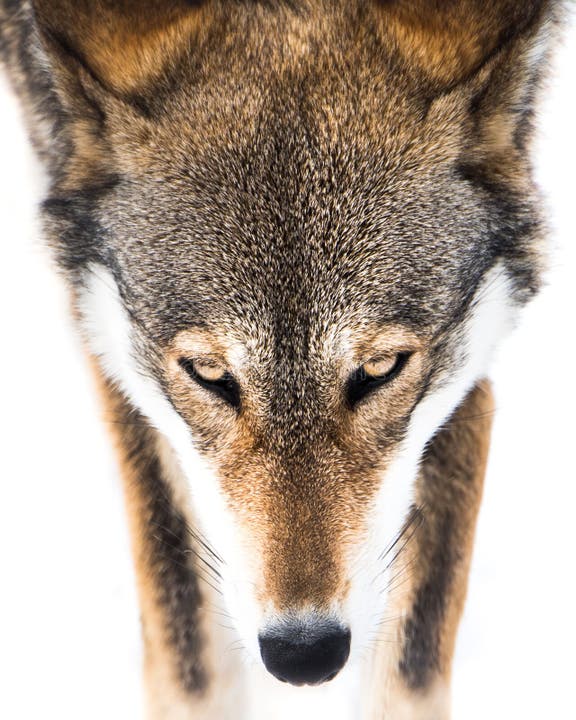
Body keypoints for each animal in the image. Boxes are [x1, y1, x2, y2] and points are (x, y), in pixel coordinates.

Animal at [0, 1, 565, 718]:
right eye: (210, 376)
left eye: (379, 370)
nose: (304, 654)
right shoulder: (116, 361)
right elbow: (190, 664)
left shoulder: (458, 384)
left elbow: (411, 668)